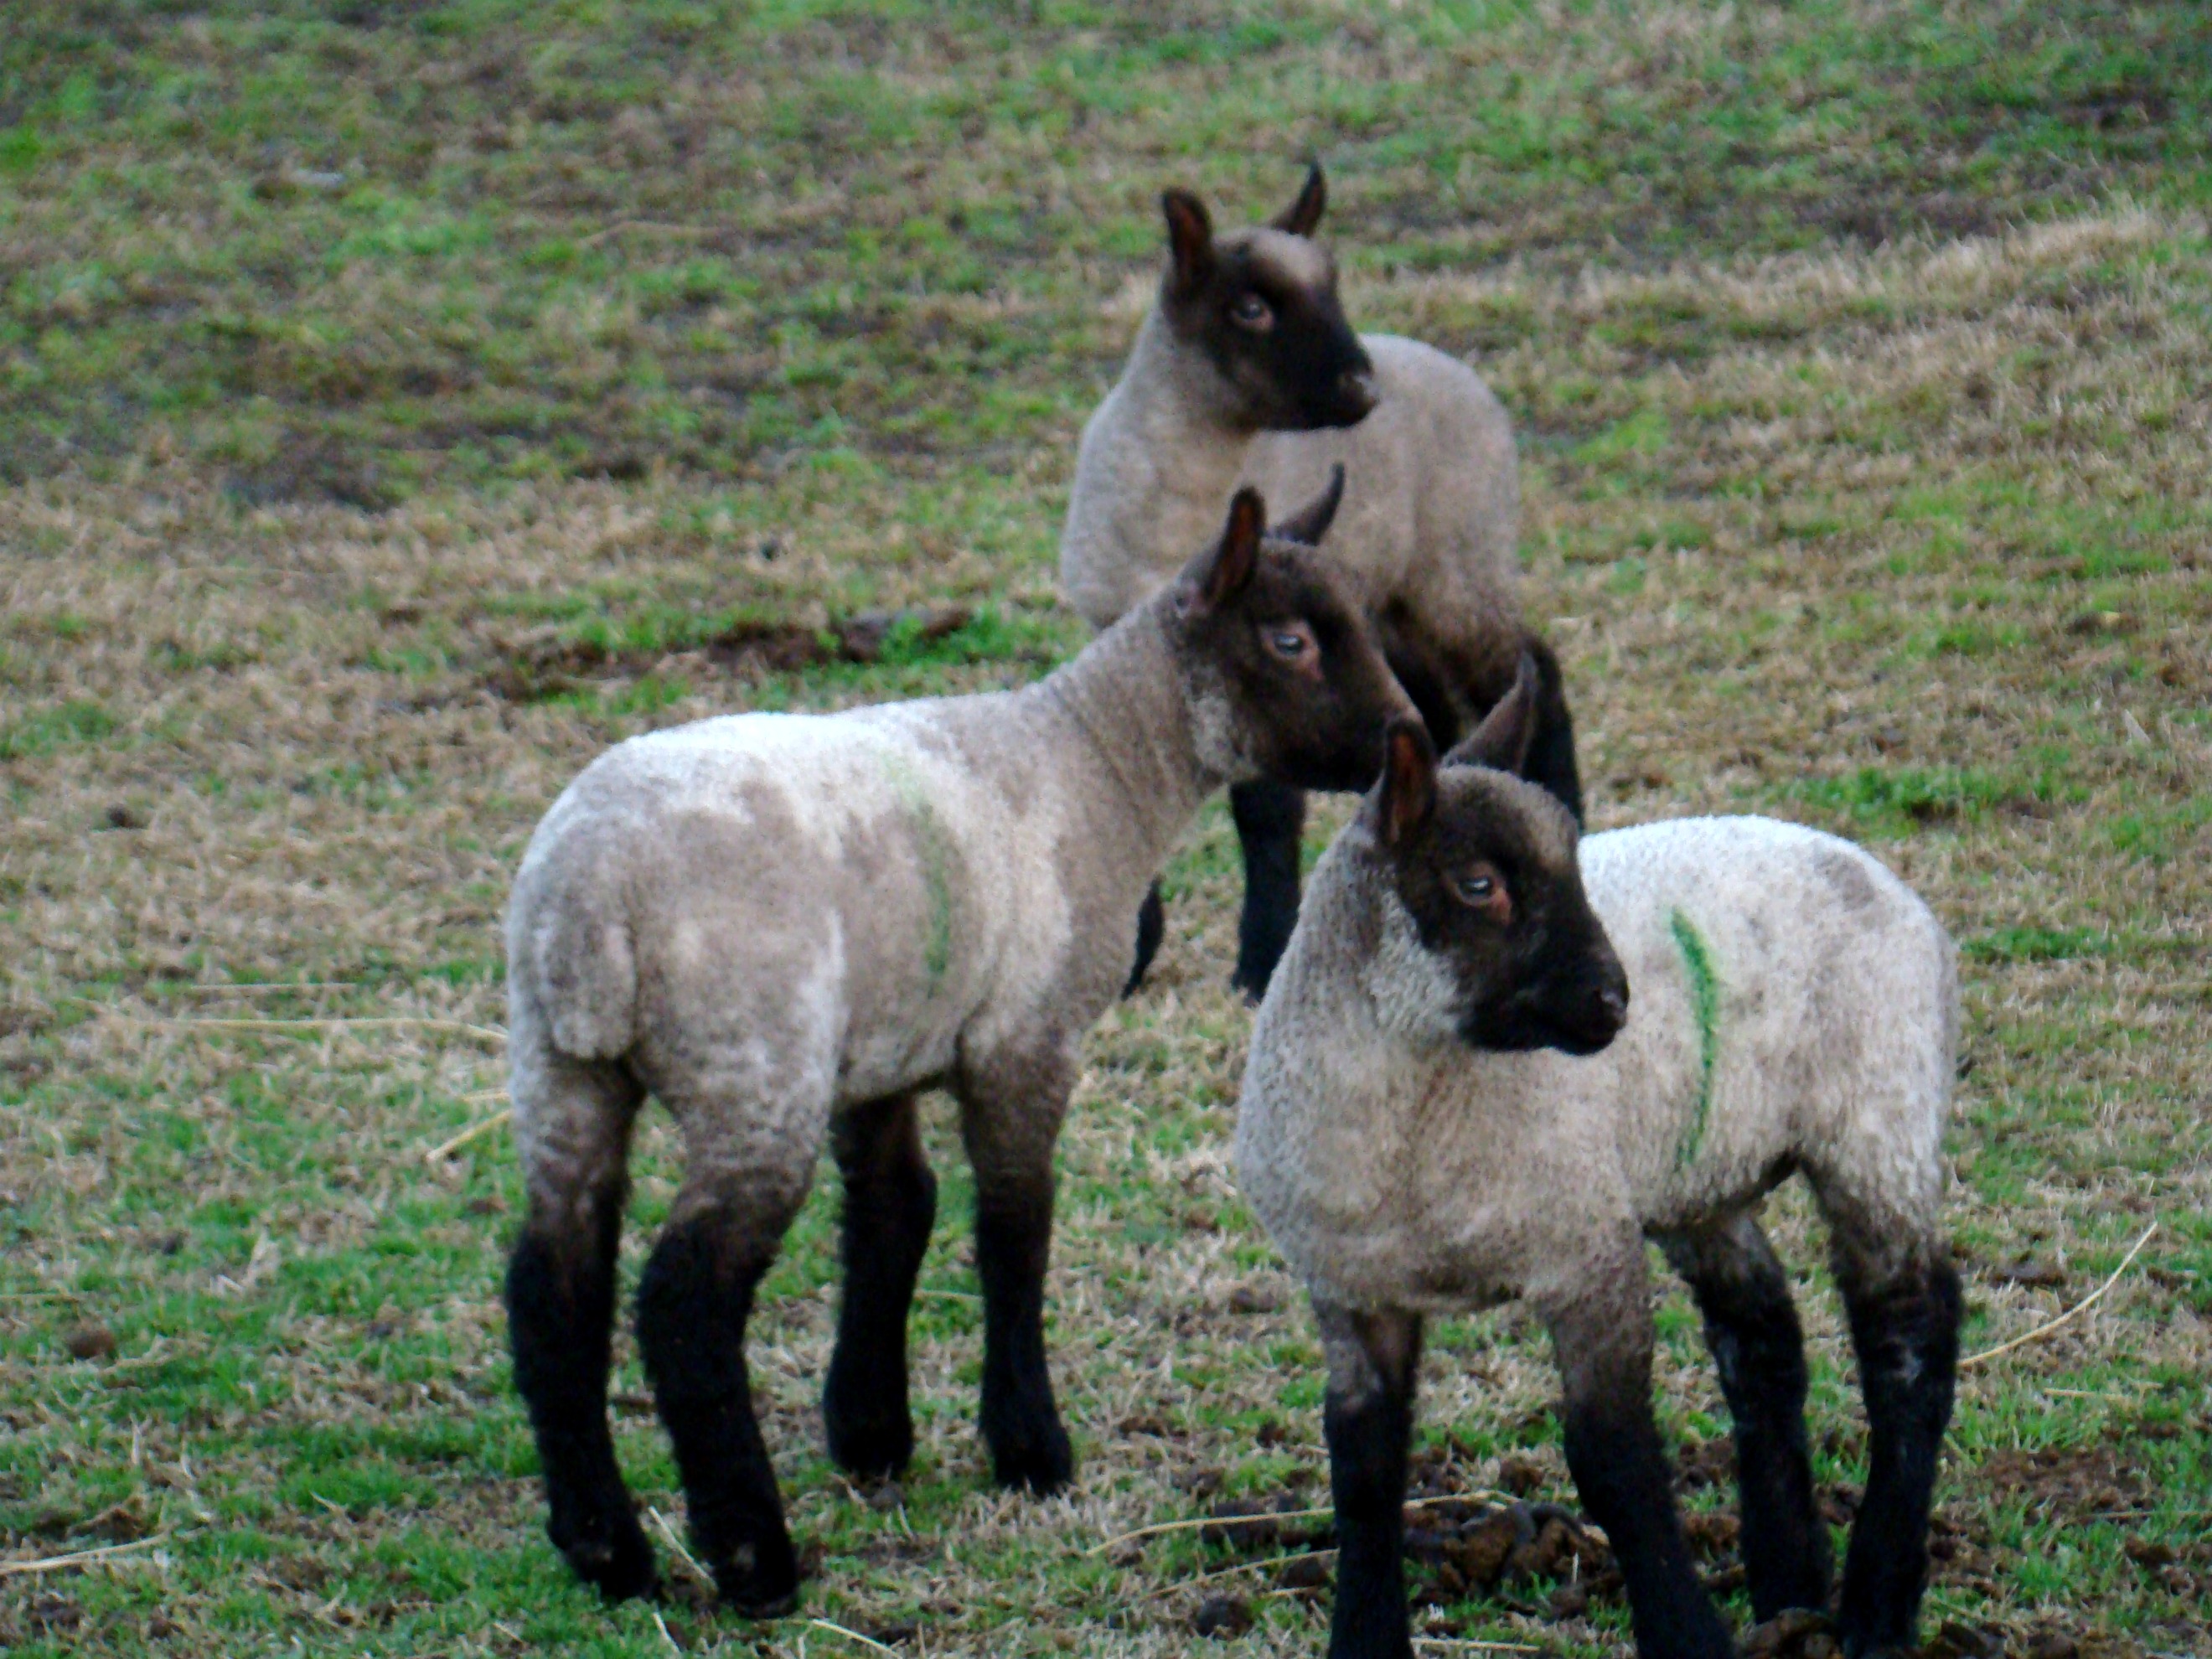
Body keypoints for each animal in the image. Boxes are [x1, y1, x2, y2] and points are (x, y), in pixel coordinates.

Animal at [500, 473, 1419, 1616]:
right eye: (1291, 640)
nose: (1409, 739)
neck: (1101, 762)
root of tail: (589, 898)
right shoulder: (1027, 1038)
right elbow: (1014, 1230)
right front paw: (1029, 1448)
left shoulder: (887, 1043)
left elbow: (895, 1213)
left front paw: (870, 1431)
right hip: (753, 1068)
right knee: (684, 1306)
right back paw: (753, 1557)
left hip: (562, 1070)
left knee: (552, 1287)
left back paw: (605, 1549)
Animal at [1060, 165, 1582, 998]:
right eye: (1250, 308)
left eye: (1333, 290)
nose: (1361, 388)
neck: (1185, 487)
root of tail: (1441, 359)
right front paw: (1137, 956)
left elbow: (1267, 812)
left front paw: (1260, 959)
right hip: (1393, 607)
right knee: (1443, 712)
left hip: (1458, 574)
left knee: (1538, 669)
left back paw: (1571, 817)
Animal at [1235, 670, 1962, 1659]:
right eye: (1479, 885)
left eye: (1576, 873)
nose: (1614, 1001)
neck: (1405, 1134)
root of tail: (1874, 872)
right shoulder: (1352, 1292)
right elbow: (1364, 1471)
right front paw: (1365, 1639)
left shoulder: (1585, 1254)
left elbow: (1612, 1457)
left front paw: (1686, 1634)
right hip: (1696, 1172)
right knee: (1761, 1340)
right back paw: (1786, 1580)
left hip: (1877, 1121)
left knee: (1910, 1331)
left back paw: (1878, 1605)